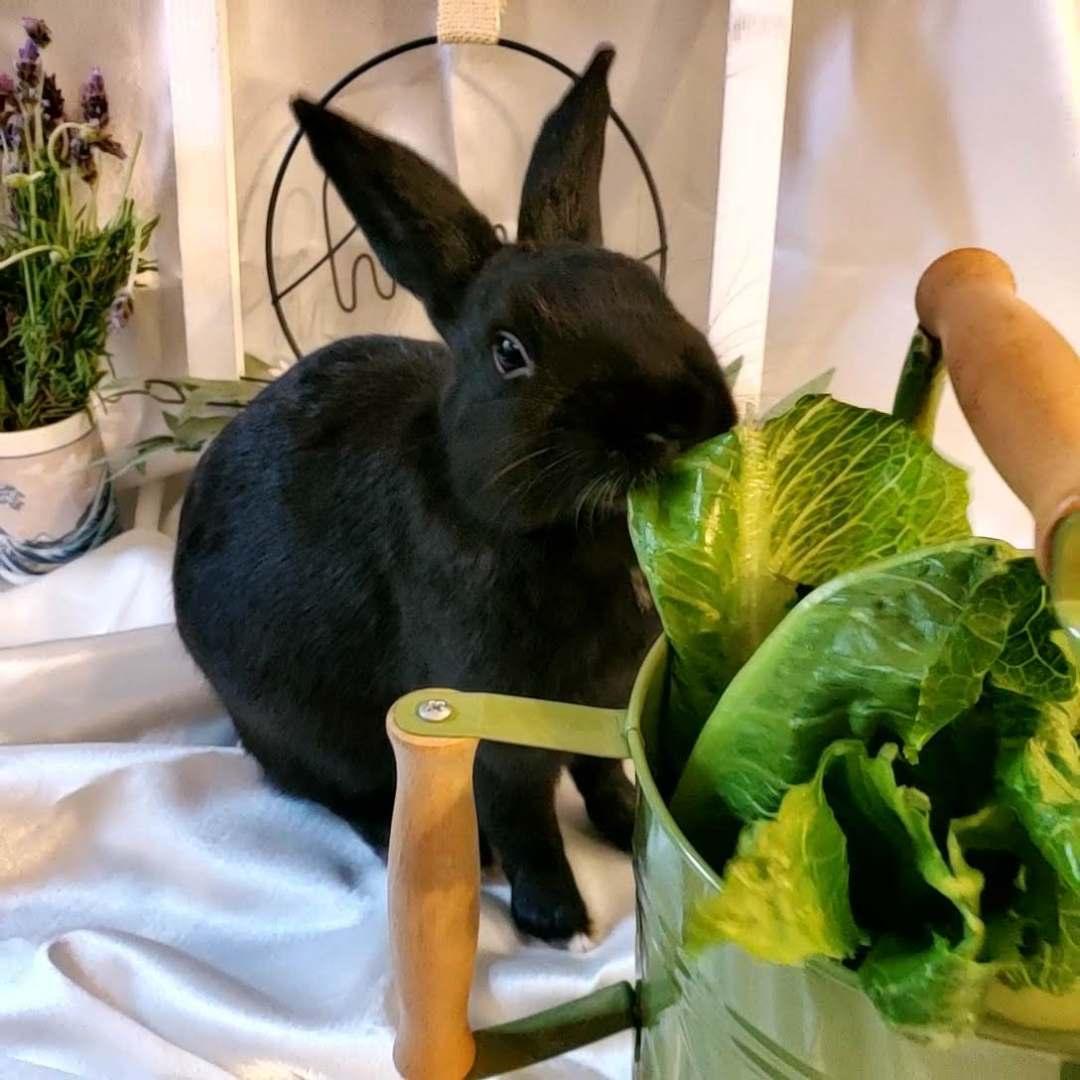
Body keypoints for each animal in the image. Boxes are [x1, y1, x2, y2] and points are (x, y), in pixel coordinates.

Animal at [173, 46, 736, 945]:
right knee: (344, 796)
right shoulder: (496, 731)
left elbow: (601, 777)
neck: (571, 537)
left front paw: (627, 829)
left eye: (654, 293)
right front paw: (557, 919)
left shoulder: (599, 713)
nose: (674, 418)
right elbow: (525, 818)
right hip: (308, 734)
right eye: (510, 353)